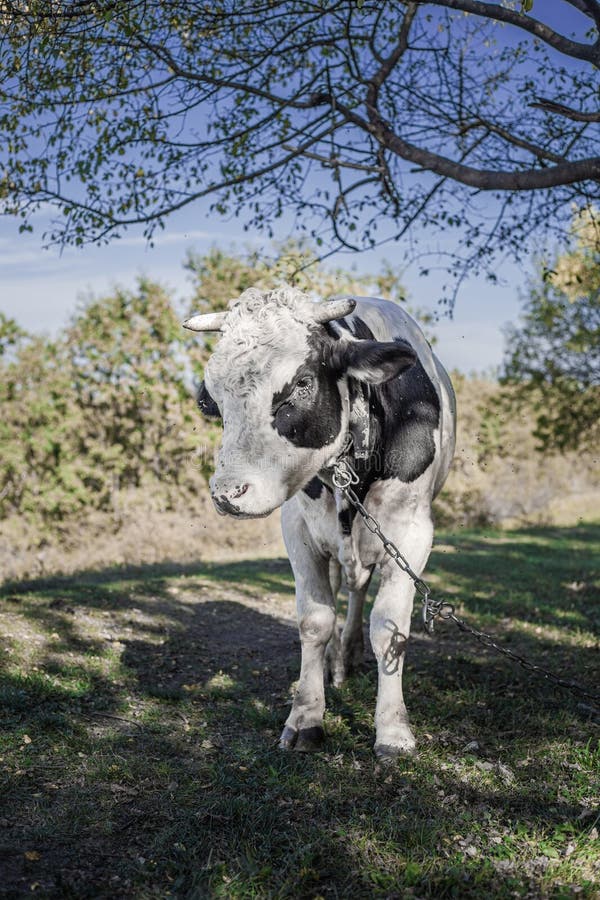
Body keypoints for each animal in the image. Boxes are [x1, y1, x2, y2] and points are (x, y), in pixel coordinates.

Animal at [184, 287, 456, 760]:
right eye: (213, 400)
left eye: (302, 384)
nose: (226, 493)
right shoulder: (298, 530)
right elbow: (314, 621)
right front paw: (306, 717)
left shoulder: (412, 533)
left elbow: (390, 629)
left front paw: (393, 730)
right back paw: (336, 661)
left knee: (359, 593)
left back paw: (349, 656)